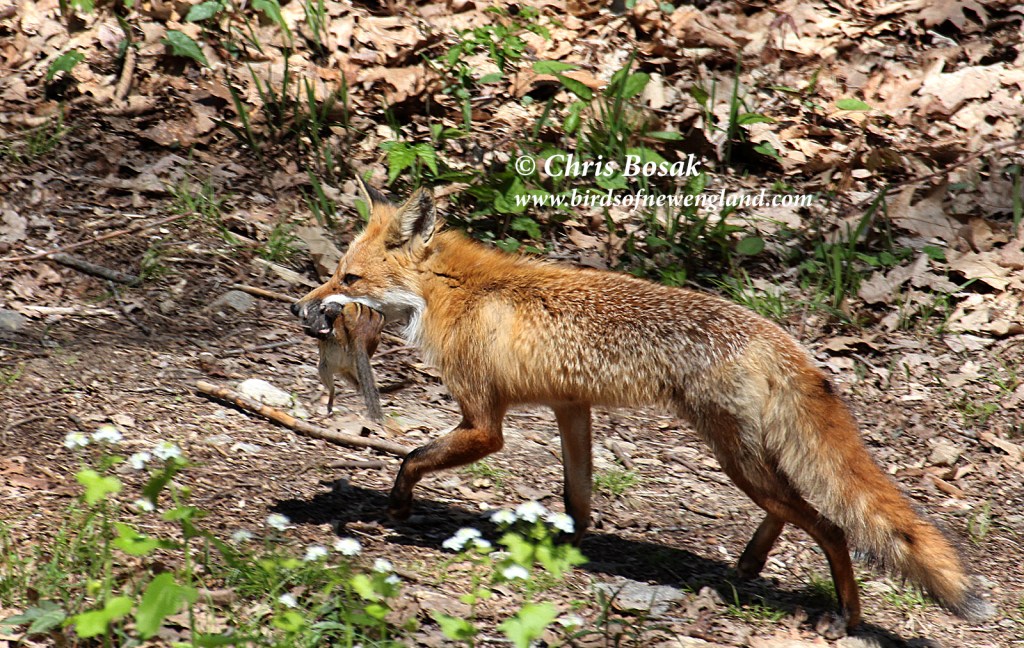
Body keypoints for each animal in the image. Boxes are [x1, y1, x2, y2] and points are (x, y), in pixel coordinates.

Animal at [291, 180, 995, 630]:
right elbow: (577, 496)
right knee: (791, 510)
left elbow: (410, 456)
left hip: (734, 456)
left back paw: (847, 614)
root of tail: (776, 334)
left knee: (830, 525)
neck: (456, 292)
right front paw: (567, 547)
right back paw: (751, 564)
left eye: (348, 279)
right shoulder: (570, 406)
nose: (302, 308)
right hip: (748, 457)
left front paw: (397, 508)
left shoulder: (485, 422)